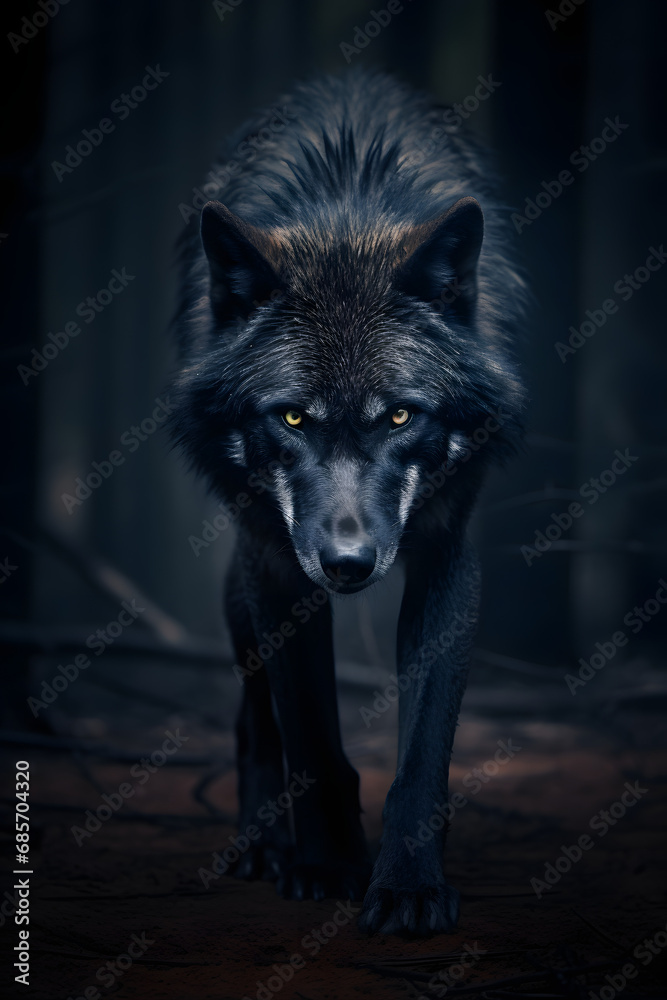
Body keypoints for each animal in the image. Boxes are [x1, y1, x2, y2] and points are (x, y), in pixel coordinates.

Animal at [170, 68, 525, 935]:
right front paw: (327, 864)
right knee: (255, 716)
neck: (348, 213)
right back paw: (264, 846)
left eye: (398, 416)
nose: (348, 562)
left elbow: (422, 752)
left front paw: (406, 886)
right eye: (293, 417)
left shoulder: (443, 554)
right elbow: (307, 733)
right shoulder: (275, 563)